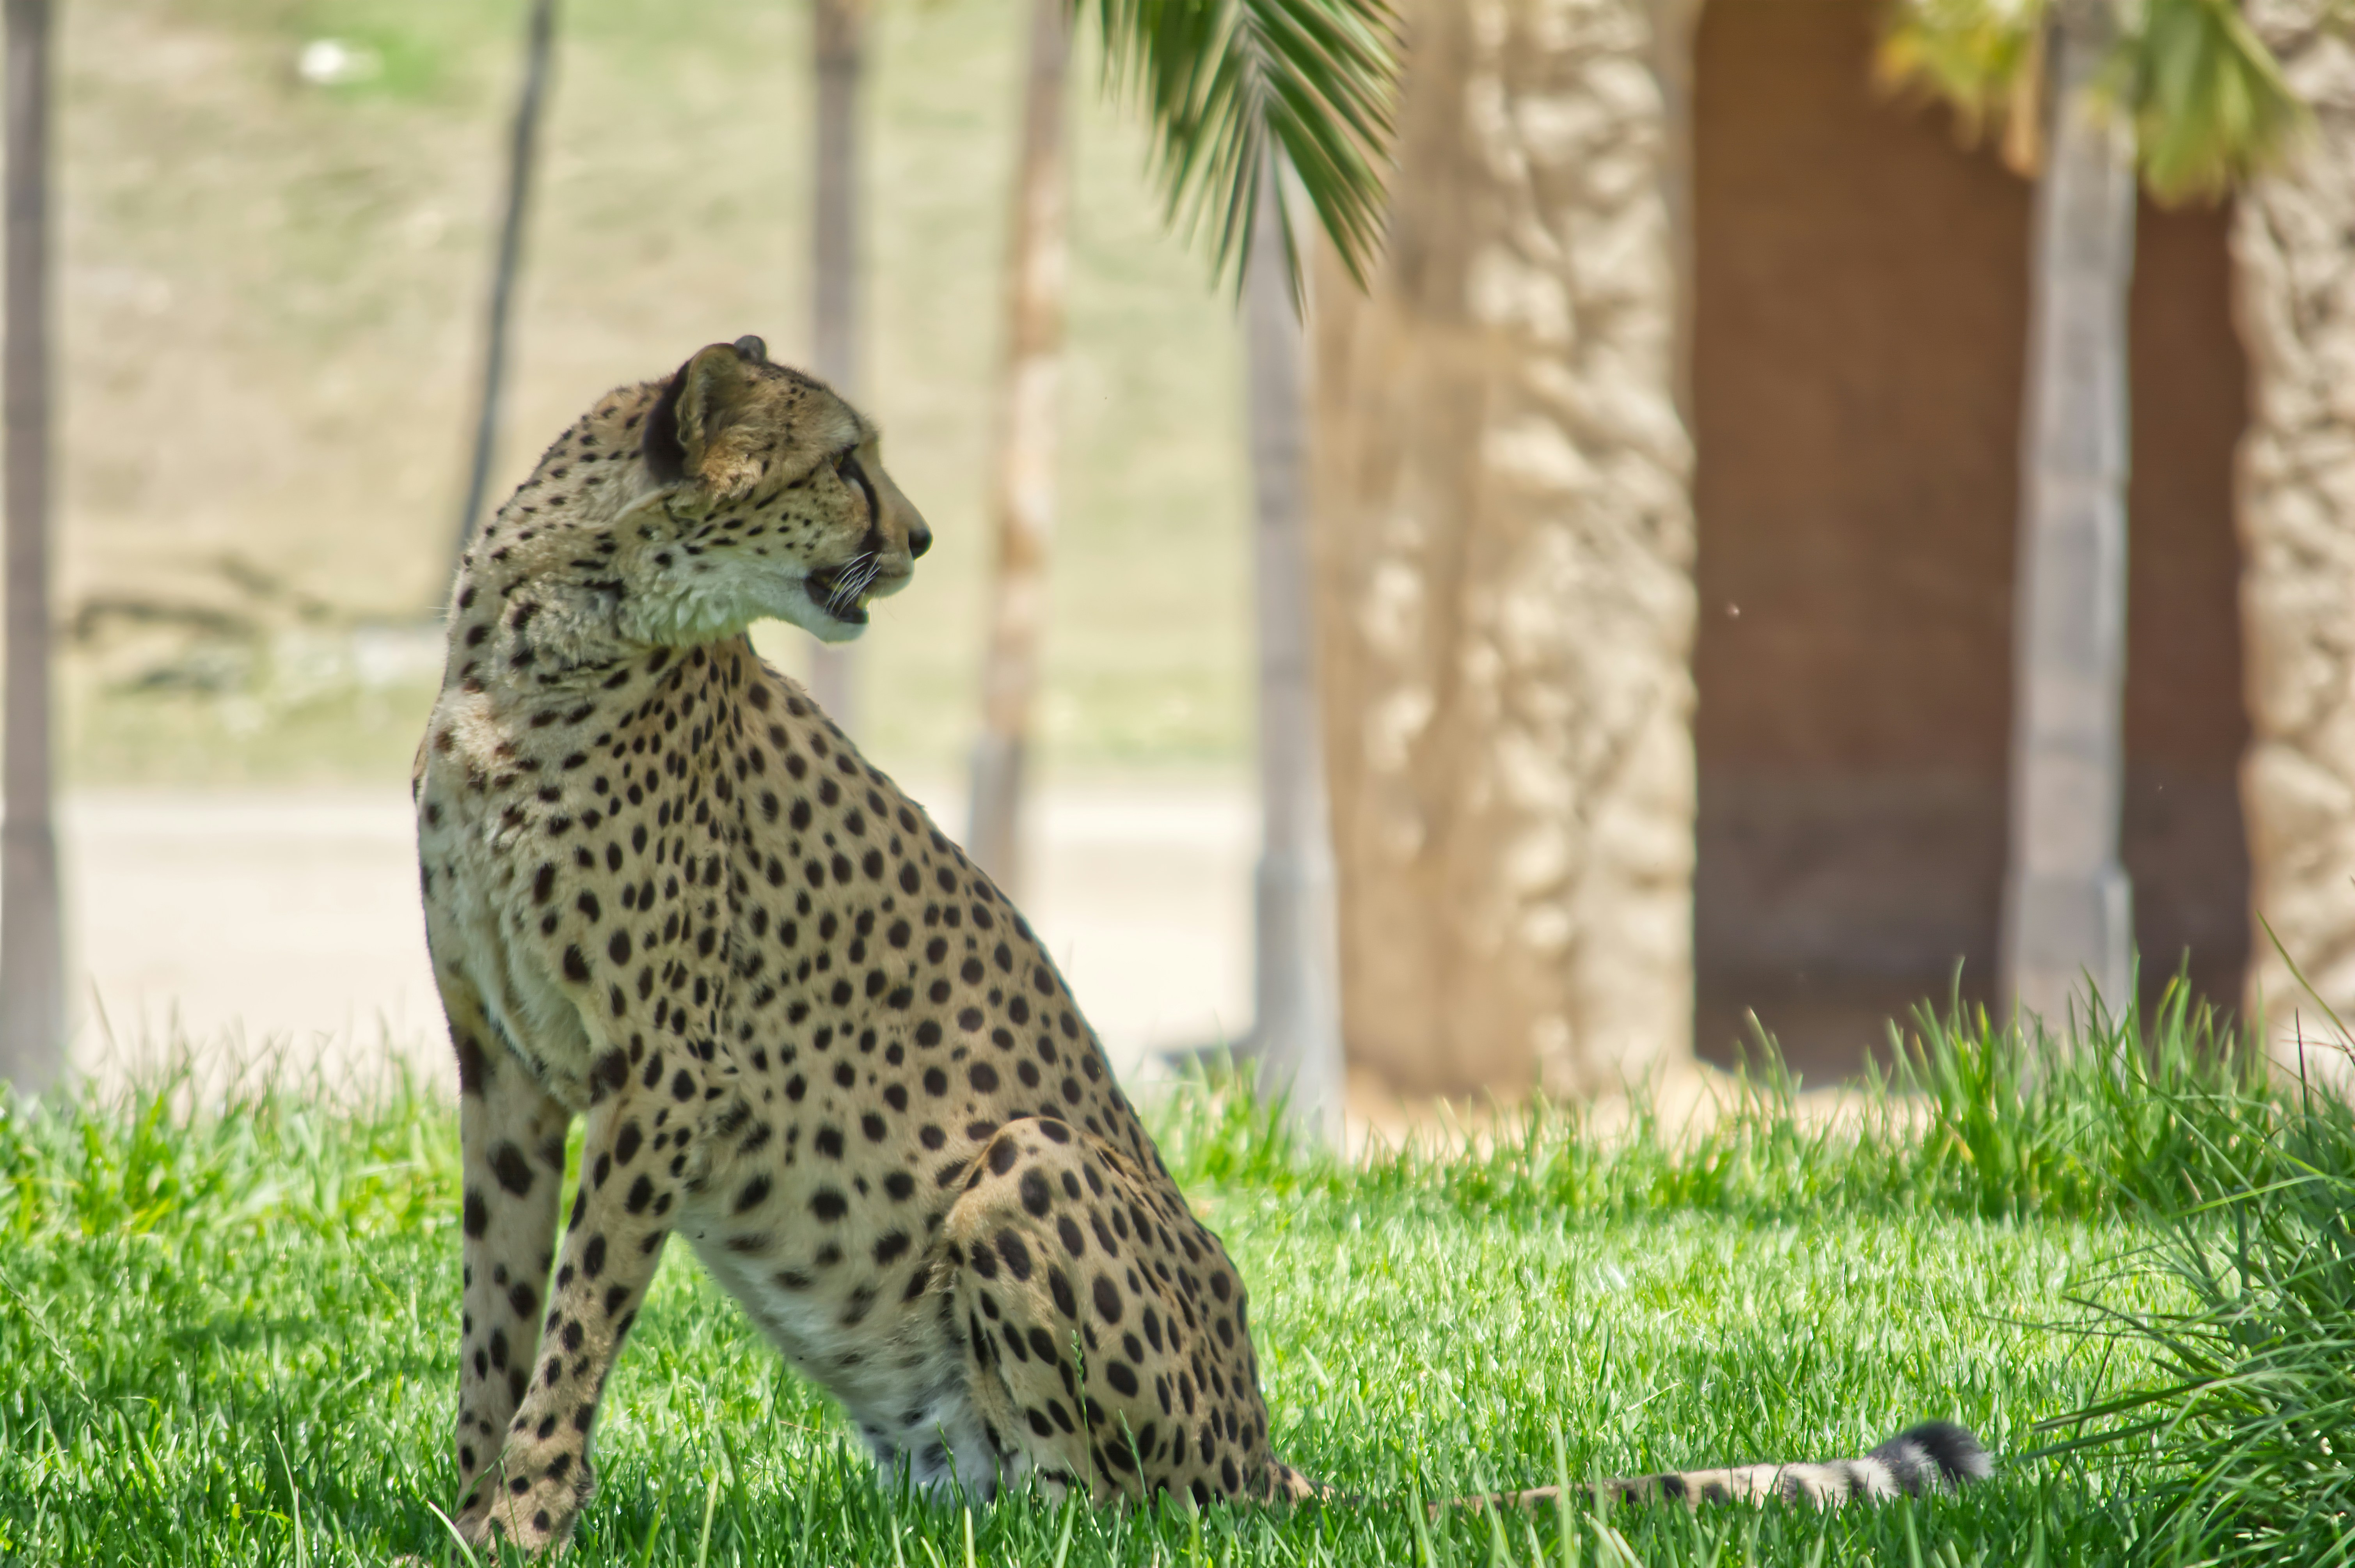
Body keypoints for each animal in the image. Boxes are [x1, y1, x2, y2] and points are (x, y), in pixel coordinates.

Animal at [414, 337, 1990, 1553]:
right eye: (844, 460)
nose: (918, 538)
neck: (544, 646)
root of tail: (1255, 1435)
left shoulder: (664, 1069)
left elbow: (577, 1321)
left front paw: (523, 1521)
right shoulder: (503, 1065)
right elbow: (499, 1313)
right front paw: (466, 1510)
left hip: (1028, 1162)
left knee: (1129, 1515)